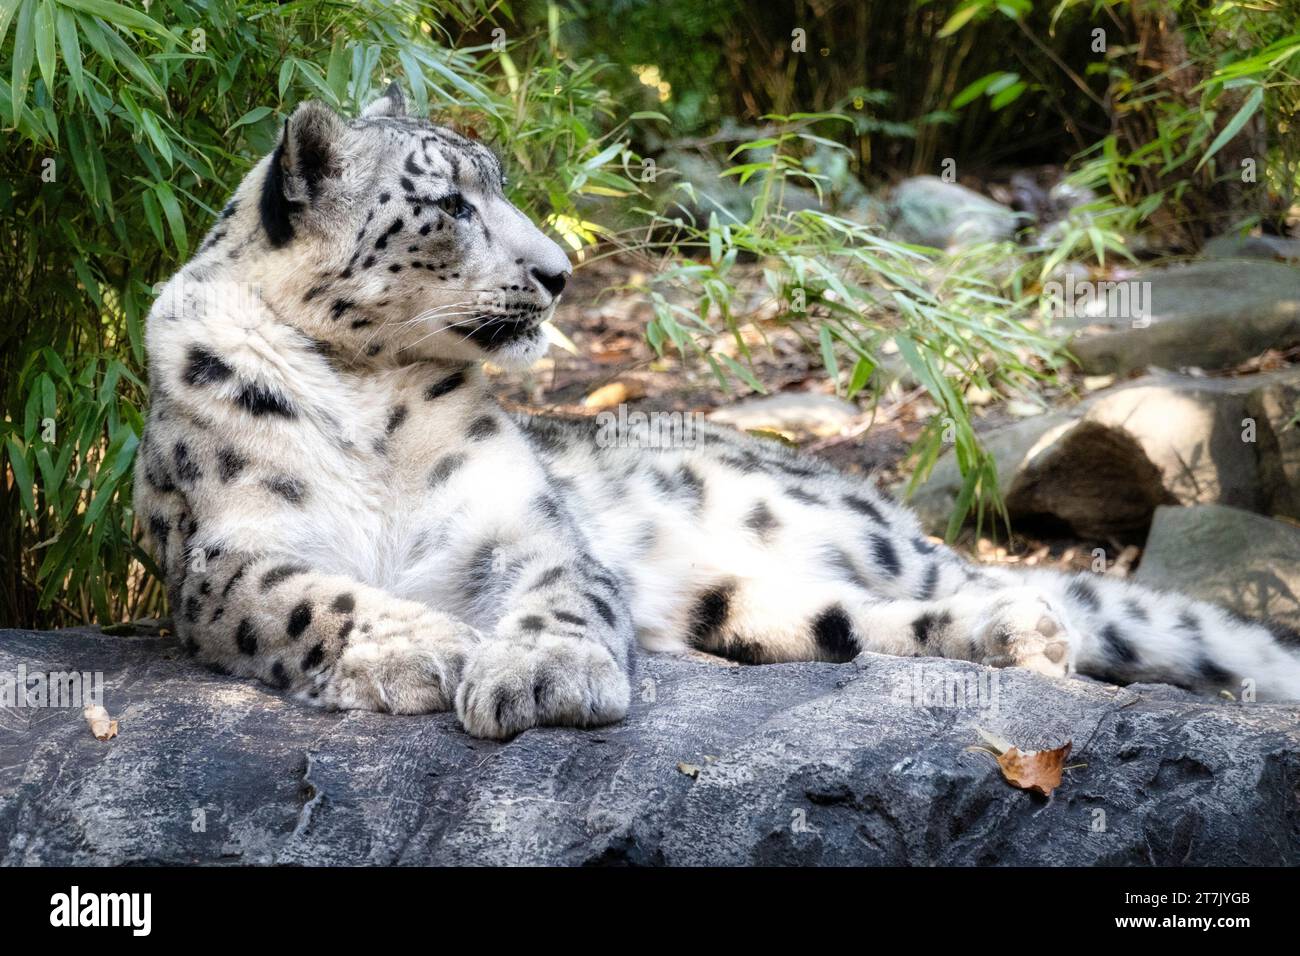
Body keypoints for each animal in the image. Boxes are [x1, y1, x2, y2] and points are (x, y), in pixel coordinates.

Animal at [133, 86, 1300, 739]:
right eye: (449, 204)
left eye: (494, 185)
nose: (558, 272)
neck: (368, 394)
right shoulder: (227, 554)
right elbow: (310, 600)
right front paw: (429, 650)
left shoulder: (520, 522)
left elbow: (556, 590)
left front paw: (542, 675)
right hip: (731, 603)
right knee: (848, 625)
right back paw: (1010, 635)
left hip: (851, 536)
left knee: (981, 581)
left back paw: (1027, 624)